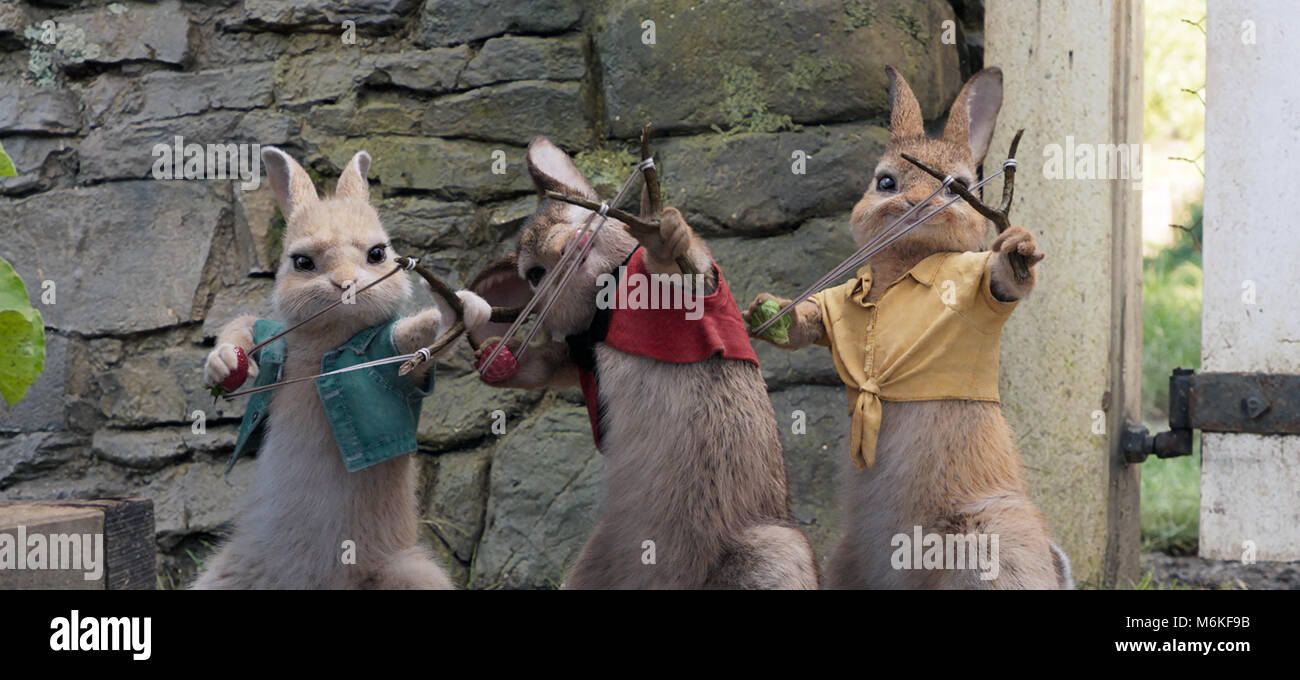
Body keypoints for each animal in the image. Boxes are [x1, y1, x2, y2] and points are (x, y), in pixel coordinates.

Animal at [192, 147, 491, 589]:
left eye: (377, 254)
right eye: (301, 262)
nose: (345, 283)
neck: (329, 341)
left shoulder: (394, 359)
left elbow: (410, 337)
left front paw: (467, 308)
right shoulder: (277, 336)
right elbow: (244, 327)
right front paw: (223, 364)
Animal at [468, 136, 818, 589]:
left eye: (585, 215)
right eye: (535, 275)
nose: (572, 247)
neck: (606, 302)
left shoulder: (693, 289)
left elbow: (684, 270)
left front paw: (665, 239)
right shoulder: (580, 351)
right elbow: (547, 364)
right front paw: (493, 357)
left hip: (774, 552)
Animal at [745, 66, 1071, 589]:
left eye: (959, 187)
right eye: (885, 181)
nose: (918, 204)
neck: (906, 265)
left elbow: (1000, 281)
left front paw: (1019, 252)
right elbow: (810, 321)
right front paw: (766, 311)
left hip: (990, 546)